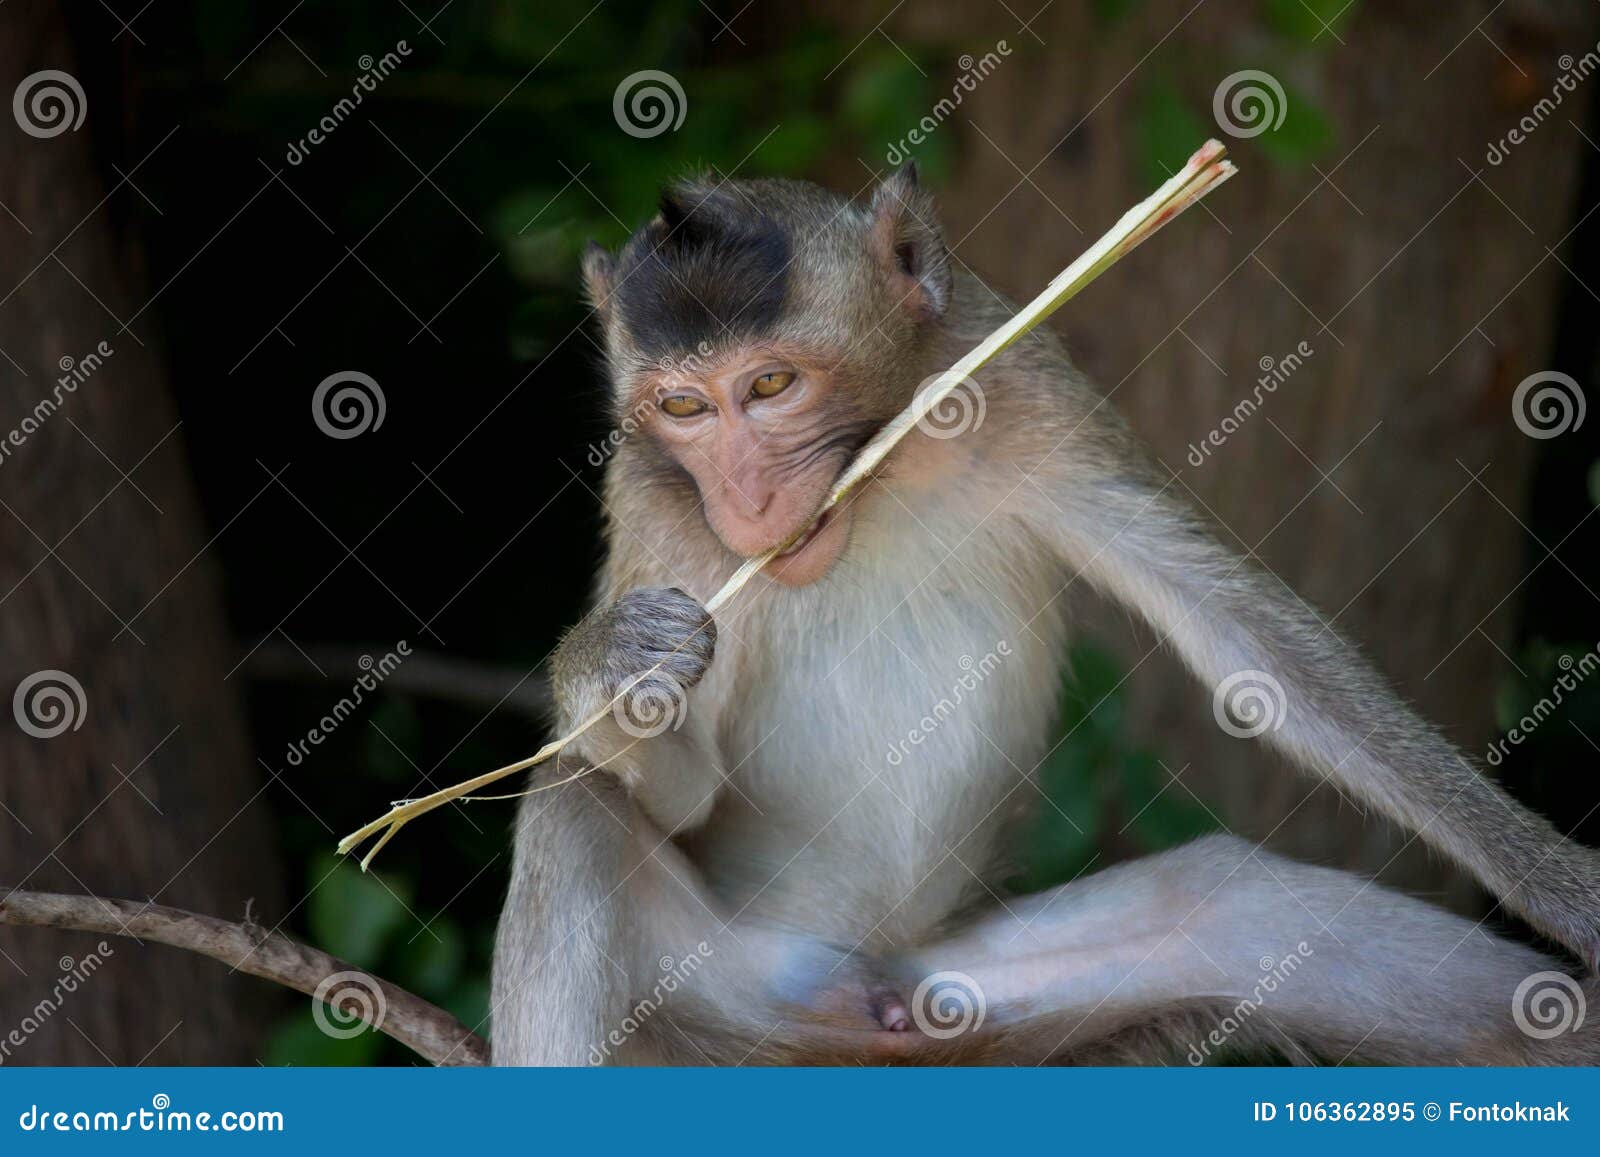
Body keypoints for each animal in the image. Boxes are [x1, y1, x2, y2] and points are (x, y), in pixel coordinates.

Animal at [489, 166, 1600, 1066]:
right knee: (577, 812)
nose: (748, 500)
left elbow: (1241, 638)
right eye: (683, 408)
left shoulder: (1014, 377)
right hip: (720, 1003)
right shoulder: (657, 510)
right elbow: (673, 793)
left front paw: (1567, 890)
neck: (879, 477)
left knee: (1245, 907)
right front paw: (608, 663)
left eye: (768, 384)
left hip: (982, 998)